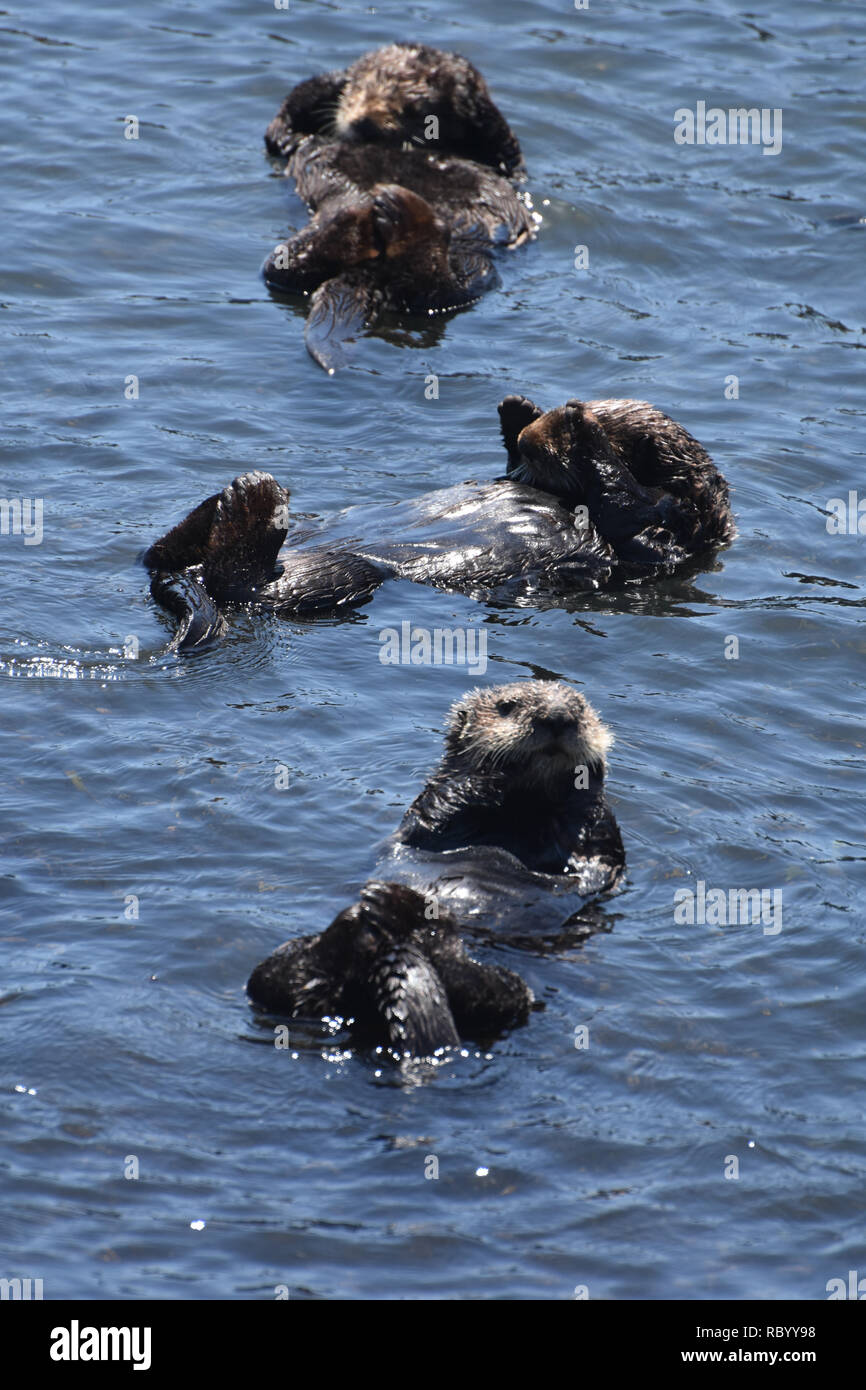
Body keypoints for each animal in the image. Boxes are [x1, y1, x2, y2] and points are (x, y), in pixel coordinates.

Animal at [142, 397, 733, 653]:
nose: (533, 434)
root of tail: (189, 584)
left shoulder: (660, 538)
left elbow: (622, 503)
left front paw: (578, 422)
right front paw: (519, 409)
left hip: (338, 578)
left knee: (240, 583)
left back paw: (250, 499)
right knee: (157, 557)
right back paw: (224, 502)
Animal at [262, 45, 532, 369]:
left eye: (413, 110)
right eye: (362, 90)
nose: (365, 121)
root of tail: (370, 274)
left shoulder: (508, 166)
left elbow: (507, 148)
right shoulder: (288, 139)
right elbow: (280, 129)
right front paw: (336, 80)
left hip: (477, 267)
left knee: (436, 288)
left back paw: (389, 213)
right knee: (280, 270)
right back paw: (364, 218)